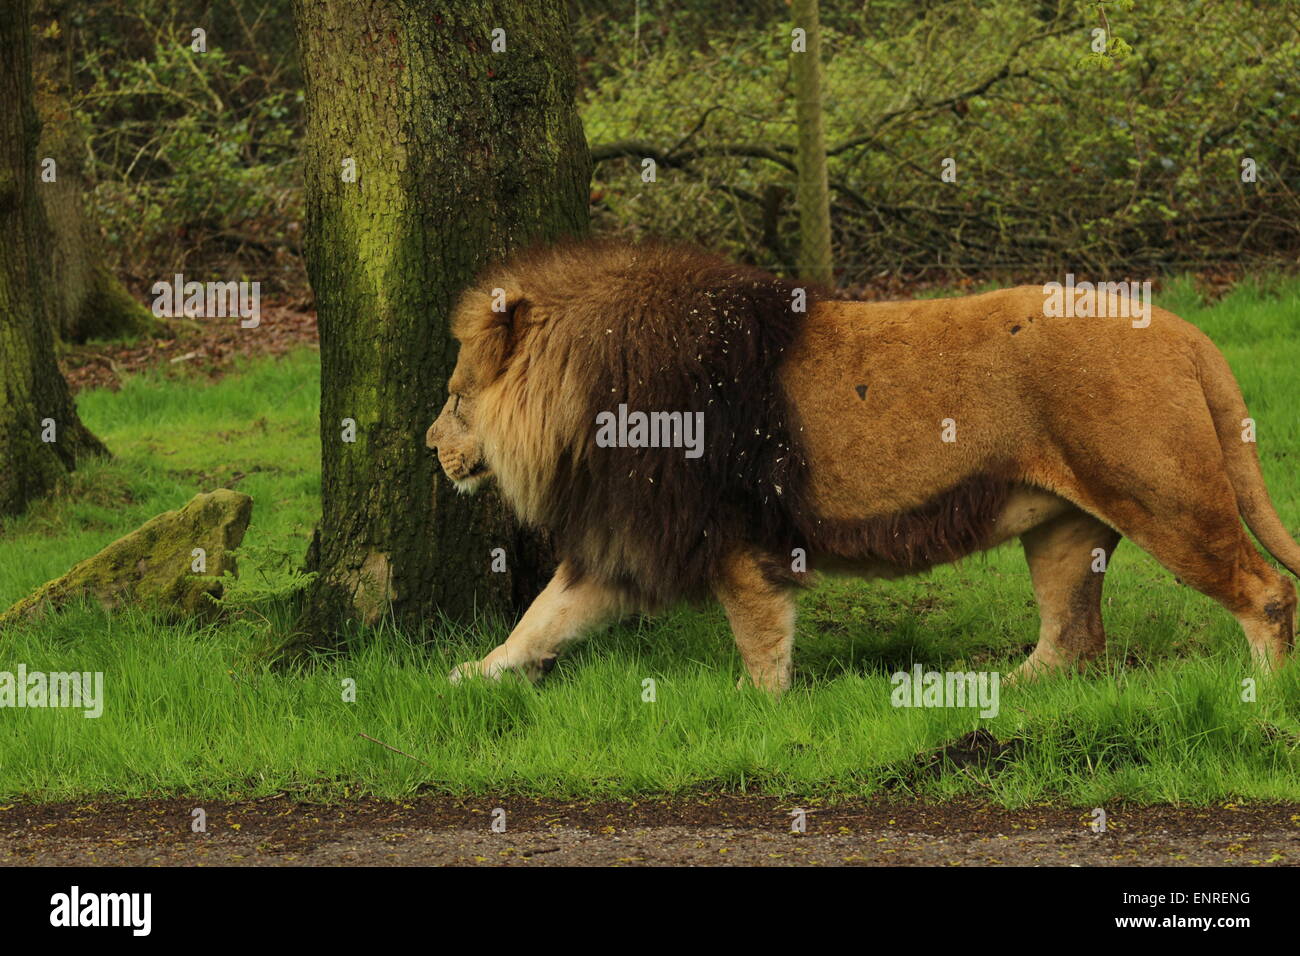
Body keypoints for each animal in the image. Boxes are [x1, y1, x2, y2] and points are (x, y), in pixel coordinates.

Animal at [426, 240, 1299, 692]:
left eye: (457, 397)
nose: (432, 447)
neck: (586, 395)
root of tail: (1186, 332)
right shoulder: (629, 541)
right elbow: (540, 620)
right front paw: (461, 676)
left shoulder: (731, 535)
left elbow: (760, 635)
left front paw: (756, 709)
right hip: (1066, 526)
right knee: (1071, 636)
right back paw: (999, 694)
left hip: (1166, 500)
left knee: (1265, 591)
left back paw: (1264, 694)